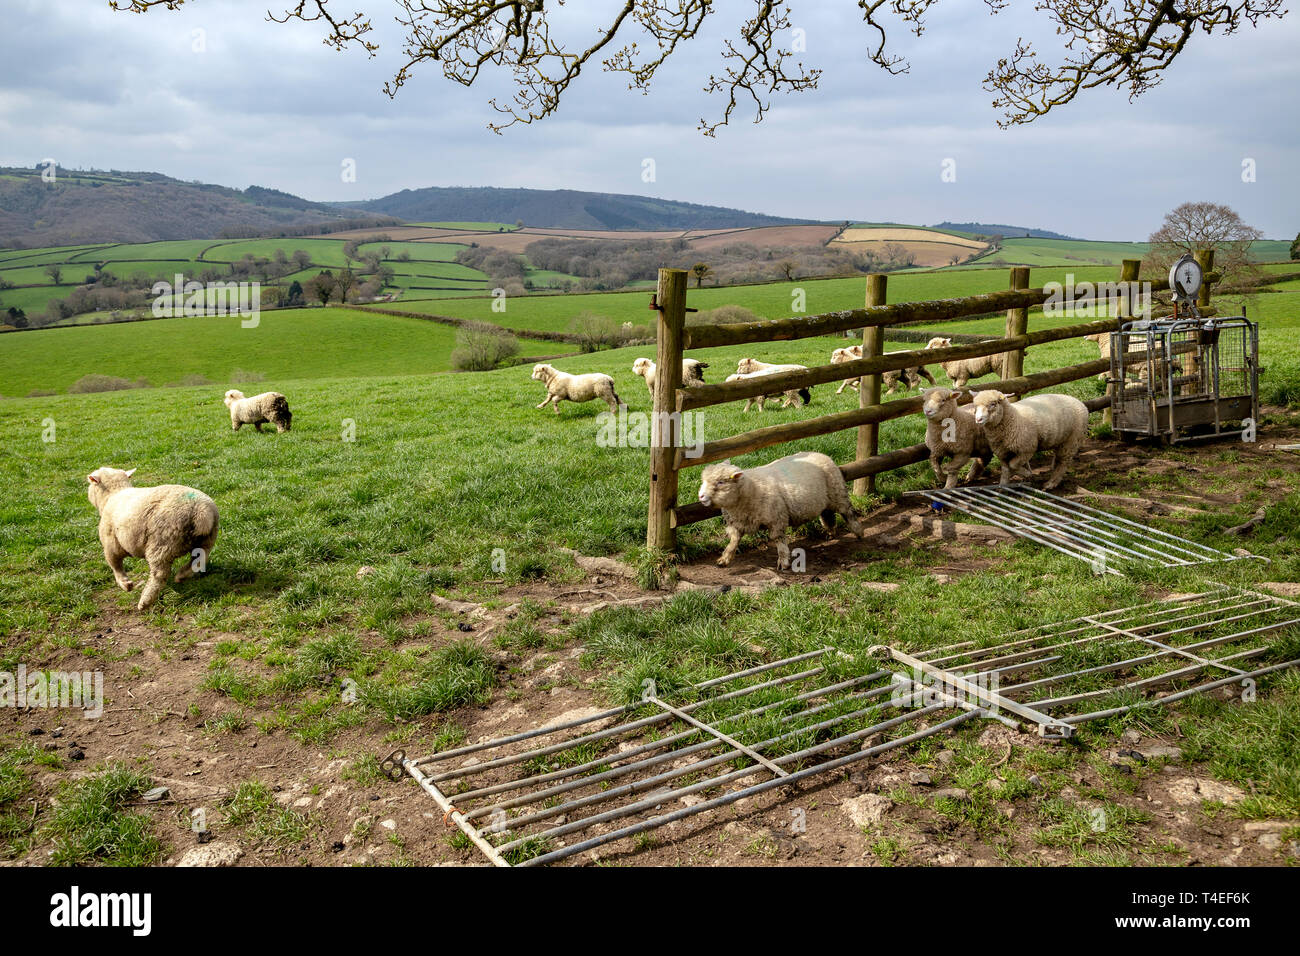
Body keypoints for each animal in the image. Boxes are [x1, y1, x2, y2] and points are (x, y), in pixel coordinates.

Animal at [86, 467, 219, 610]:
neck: (113, 494)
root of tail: (201, 512)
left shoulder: (111, 543)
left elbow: (115, 565)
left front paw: (125, 584)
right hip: (207, 541)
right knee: (199, 560)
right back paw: (181, 576)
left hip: (162, 543)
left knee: (159, 574)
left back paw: (145, 601)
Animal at [697, 451, 864, 569]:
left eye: (720, 482)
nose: (701, 496)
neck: (750, 489)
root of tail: (821, 454)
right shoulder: (737, 523)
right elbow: (733, 542)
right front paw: (724, 559)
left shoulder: (776, 519)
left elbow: (779, 540)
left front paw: (783, 562)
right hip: (824, 499)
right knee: (827, 514)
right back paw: (830, 532)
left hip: (838, 493)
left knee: (848, 513)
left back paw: (858, 532)